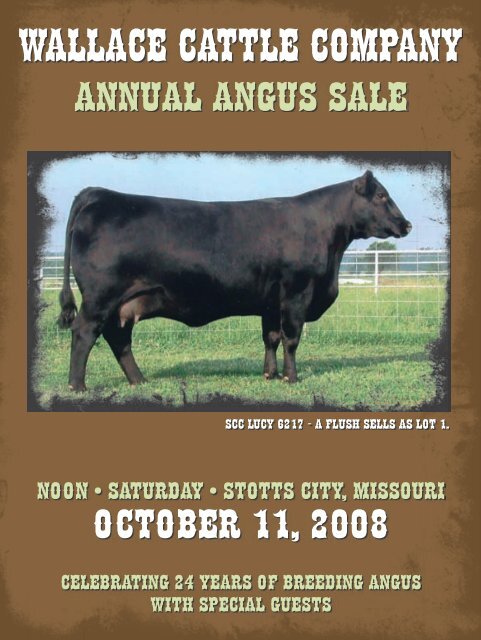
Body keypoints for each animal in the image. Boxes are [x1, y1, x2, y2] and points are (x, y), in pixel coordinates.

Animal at [58, 170, 411, 391]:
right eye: (382, 195)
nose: (406, 224)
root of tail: (98, 194)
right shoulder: (296, 293)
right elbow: (291, 338)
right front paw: (291, 378)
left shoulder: (270, 302)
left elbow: (270, 337)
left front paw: (269, 375)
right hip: (101, 297)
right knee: (85, 333)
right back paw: (77, 385)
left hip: (124, 304)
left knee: (119, 339)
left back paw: (139, 381)